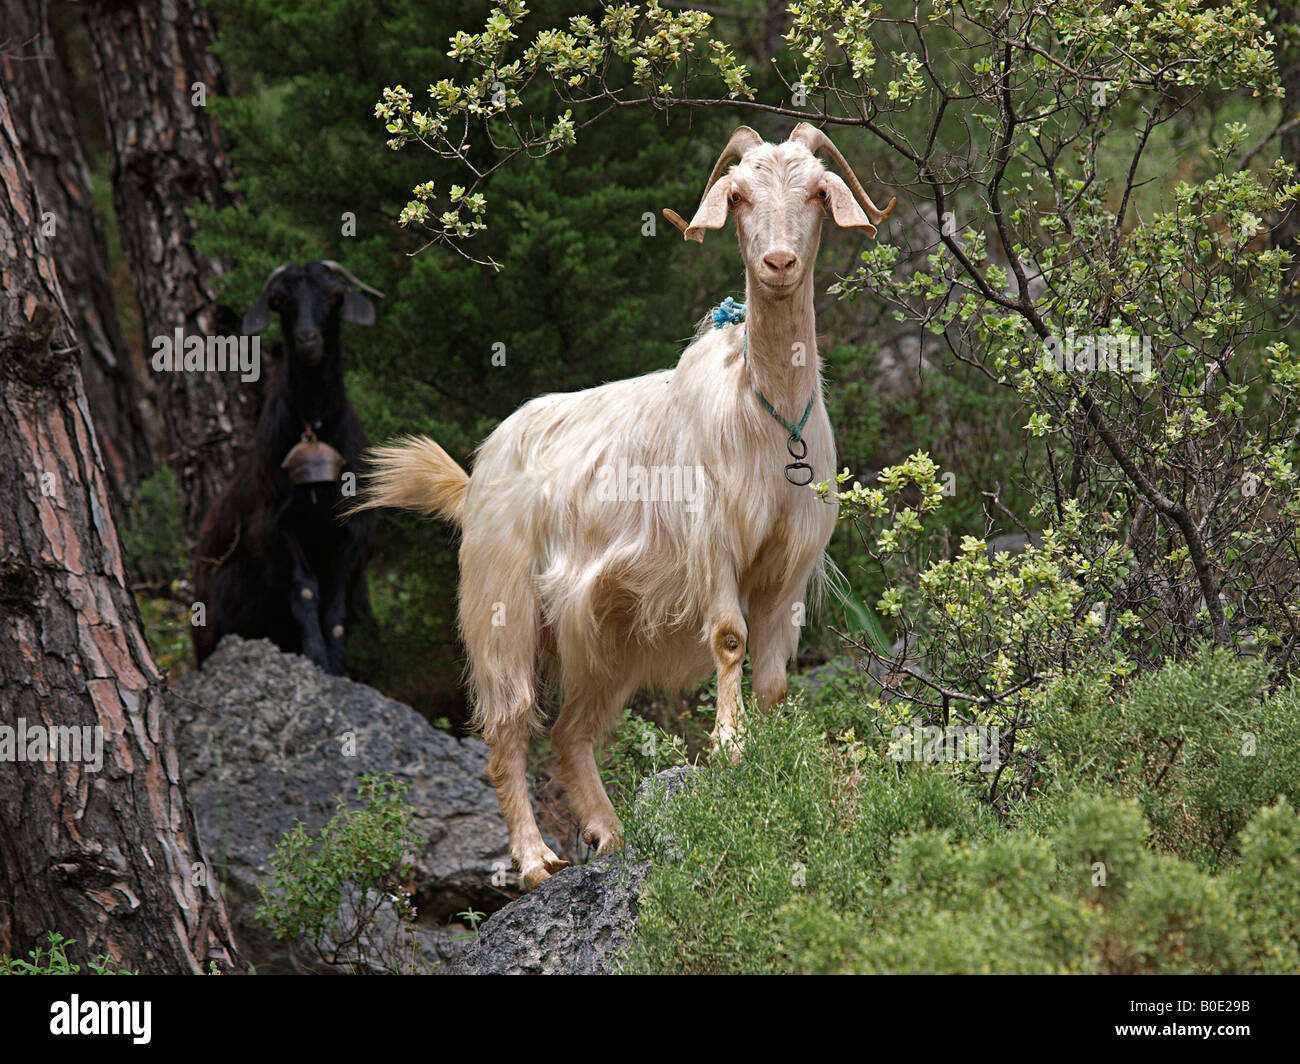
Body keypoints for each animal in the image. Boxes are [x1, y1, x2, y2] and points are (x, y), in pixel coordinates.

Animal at [193, 261, 382, 676]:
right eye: (279, 300)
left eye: (335, 295)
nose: (307, 340)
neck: (314, 426)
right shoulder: (276, 525)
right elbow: (306, 591)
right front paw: (316, 659)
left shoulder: (352, 532)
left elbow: (335, 609)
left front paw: (336, 666)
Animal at [357, 125, 893, 889]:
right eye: (738, 195)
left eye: (819, 191)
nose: (779, 263)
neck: (766, 415)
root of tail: (477, 472)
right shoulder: (711, 544)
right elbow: (729, 637)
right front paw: (729, 745)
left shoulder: (789, 567)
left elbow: (773, 680)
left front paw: (770, 753)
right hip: (502, 608)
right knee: (508, 728)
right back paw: (534, 861)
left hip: (603, 638)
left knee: (570, 731)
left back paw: (609, 834)